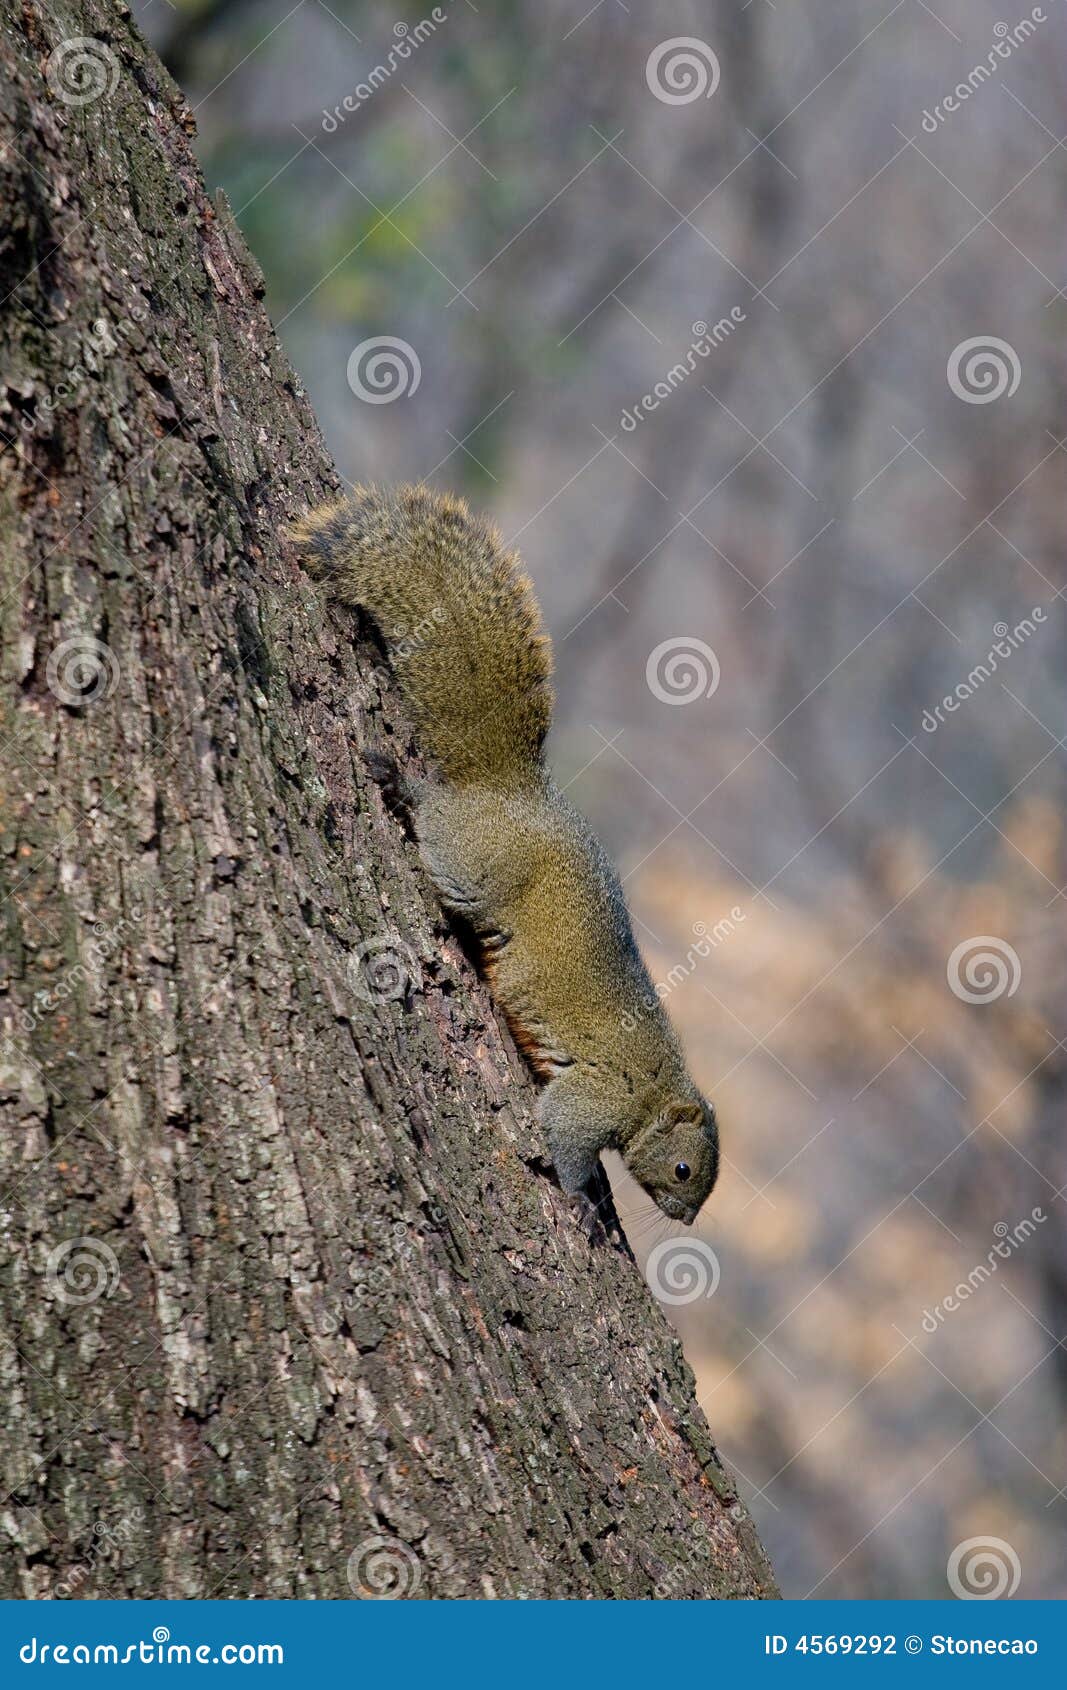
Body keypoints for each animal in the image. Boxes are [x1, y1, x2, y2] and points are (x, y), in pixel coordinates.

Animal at [291, 484, 719, 1227]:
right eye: (683, 1169)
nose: (685, 1219)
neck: (654, 1092)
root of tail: (505, 786)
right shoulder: (598, 1097)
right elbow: (567, 1136)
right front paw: (582, 1203)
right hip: (474, 862)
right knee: (437, 827)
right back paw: (403, 785)